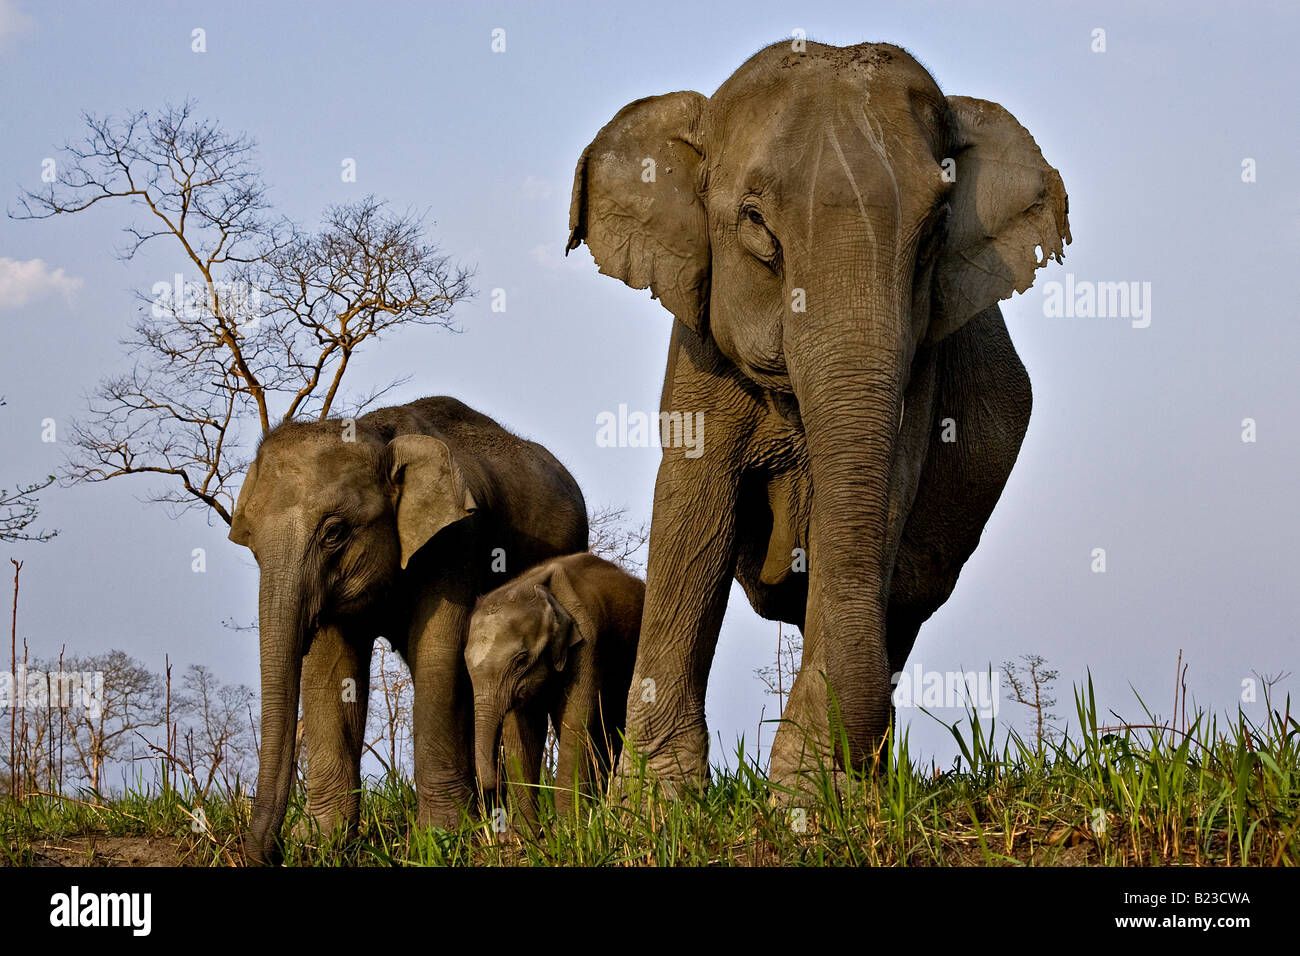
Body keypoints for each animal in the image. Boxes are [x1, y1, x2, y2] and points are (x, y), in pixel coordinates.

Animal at [227, 396, 587, 863]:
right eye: (251, 543)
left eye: (334, 532)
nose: (270, 853)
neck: (379, 436)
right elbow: (329, 671)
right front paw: (322, 841)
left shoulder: (456, 539)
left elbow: (440, 655)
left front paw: (442, 837)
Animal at [465, 552, 643, 823]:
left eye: (521, 660)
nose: (493, 792)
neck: (535, 587)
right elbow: (521, 731)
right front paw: (528, 833)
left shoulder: (588, 639)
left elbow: (575, 718)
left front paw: (571, 827)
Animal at [566, 40, 1070, 791]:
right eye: (754, 221)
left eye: (935, 232)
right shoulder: (699, 345)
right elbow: (694, 510)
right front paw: (655, 801)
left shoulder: (920, 366)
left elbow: (879, 506)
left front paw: (808, 792)